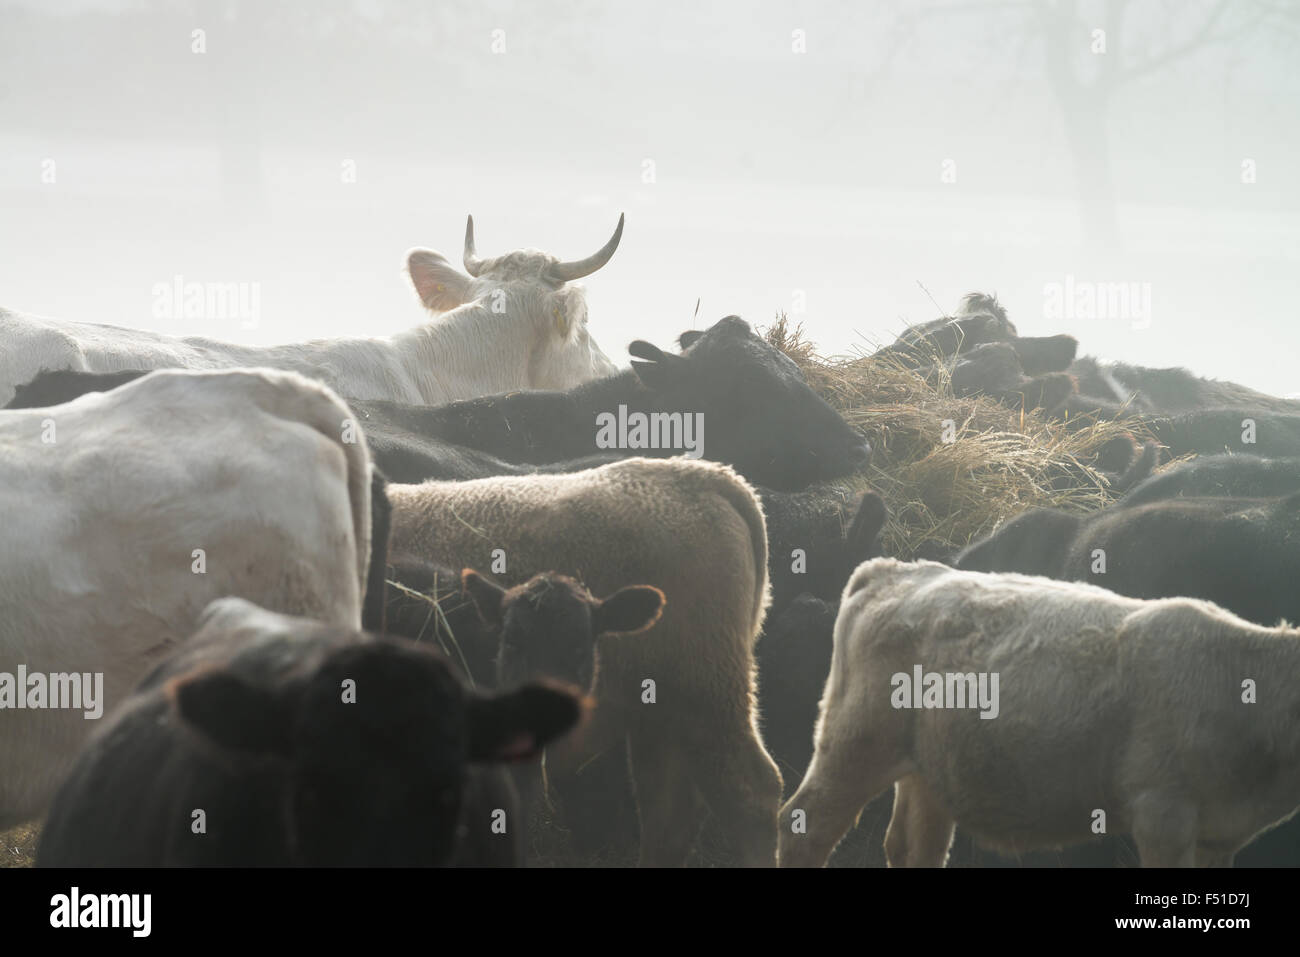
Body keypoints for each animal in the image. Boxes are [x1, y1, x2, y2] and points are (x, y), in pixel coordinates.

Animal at [779, 559, 1300, 868]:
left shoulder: (1217, 835)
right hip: (855, 742)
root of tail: (896, 569)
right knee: (804, 824)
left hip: (927, 769)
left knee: (912, 846)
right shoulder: (1162, 811)